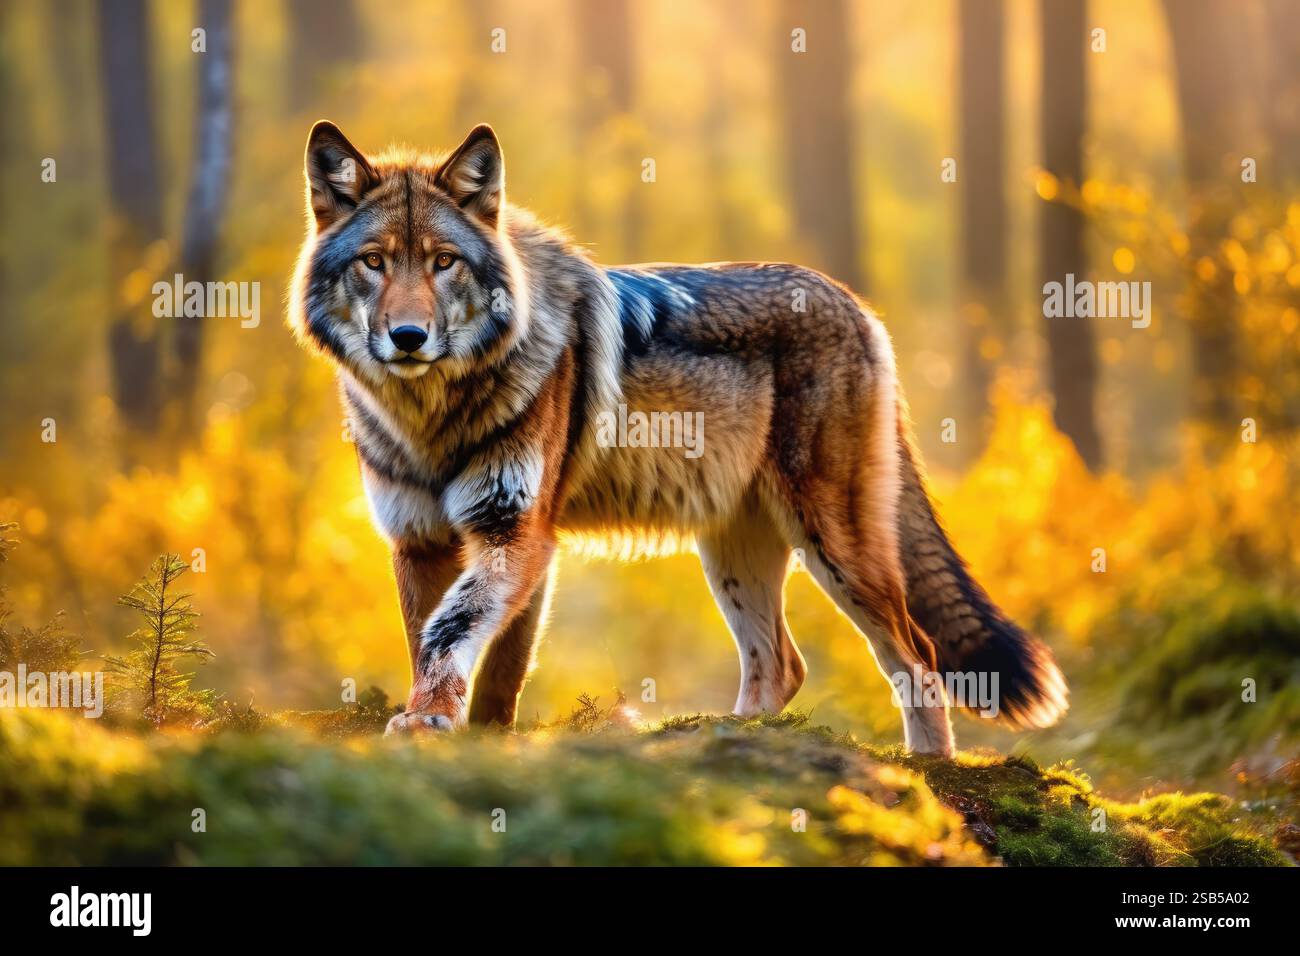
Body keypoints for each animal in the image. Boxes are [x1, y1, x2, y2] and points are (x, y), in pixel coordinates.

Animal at [289, 122, 1068, 755]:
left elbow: (453, 634)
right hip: (733, 554)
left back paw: (929, 766)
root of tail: (856, 304)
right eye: (375, 262)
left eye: (443, 261)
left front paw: (433, 721)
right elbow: (445, 646)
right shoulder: (425, 542)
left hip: (834, 547)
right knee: (783, 665)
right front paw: (463, 727)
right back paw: (728, 738)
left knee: (918, 654)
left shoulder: (518, 534)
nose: (408, 337)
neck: (431, 417)